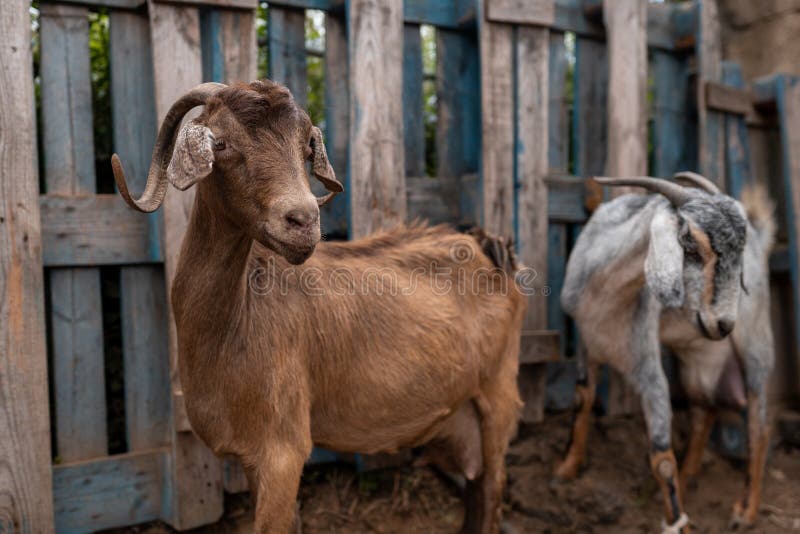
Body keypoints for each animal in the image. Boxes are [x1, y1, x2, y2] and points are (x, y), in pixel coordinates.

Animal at [112, 80, 526, 533]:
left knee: (492, 488)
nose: (303, 220)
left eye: (306, 148)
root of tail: (489, 247)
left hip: (499, 393)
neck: (238, 320)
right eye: (220, 143)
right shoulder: (253, 460)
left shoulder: (282, 451)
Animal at [554, 173, 775, 533]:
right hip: (695, 362)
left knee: (760, 423)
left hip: (757, 343)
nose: (724, 324)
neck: (606, 295)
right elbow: (581, 399)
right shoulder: (587, 344)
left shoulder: (647, 364)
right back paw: (688, 477)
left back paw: (746, 511)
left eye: (739, 254)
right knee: (704, 411)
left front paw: (679, 523)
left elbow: (662, 459)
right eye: (690, 243)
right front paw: (566, 469)